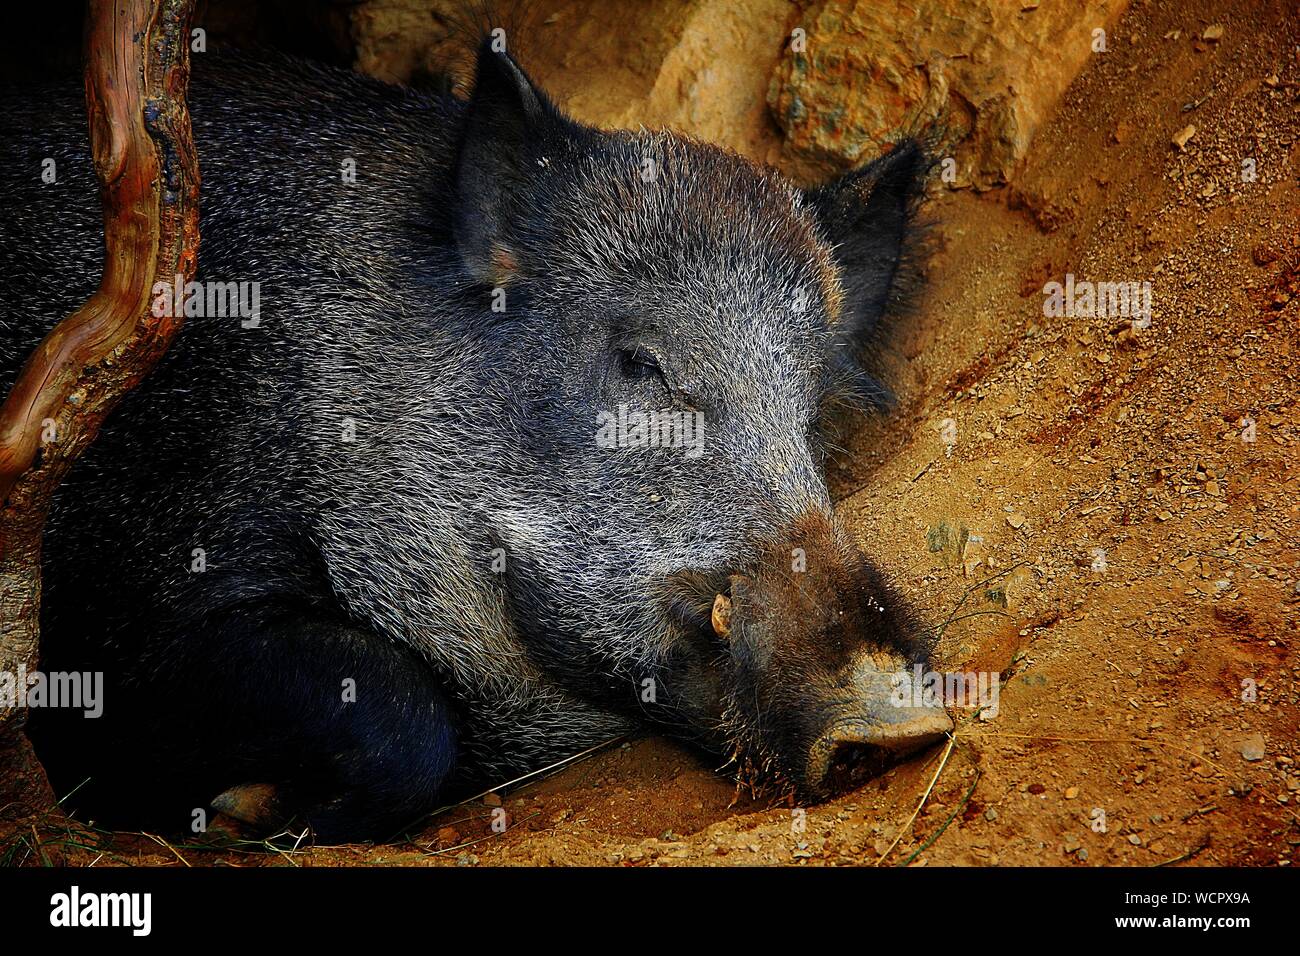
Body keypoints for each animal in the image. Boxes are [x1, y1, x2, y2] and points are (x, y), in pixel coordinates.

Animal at [0, 40, 951, 842]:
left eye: (809, 409)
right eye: (640, 362)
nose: (906, 719)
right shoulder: (131, 593)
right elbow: (400, 708)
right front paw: (248, 815)